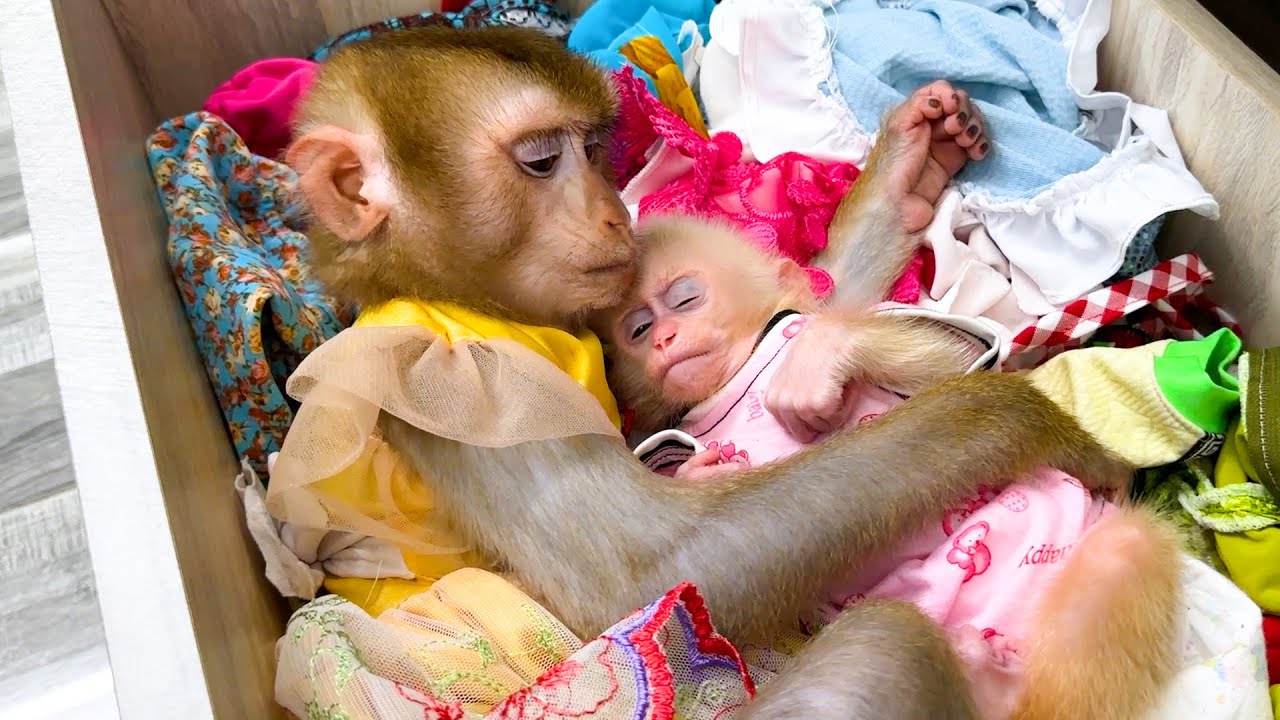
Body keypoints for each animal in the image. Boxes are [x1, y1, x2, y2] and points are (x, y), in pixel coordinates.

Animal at [596, 213, 1183, 720]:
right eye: (639, 329)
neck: (737, 371)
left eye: (685, 298)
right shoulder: (677, 437)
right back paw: (991, 685)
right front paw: (702, 472)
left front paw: (825, 354)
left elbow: (960, 359)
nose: (664, 339)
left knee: (1119, 555)